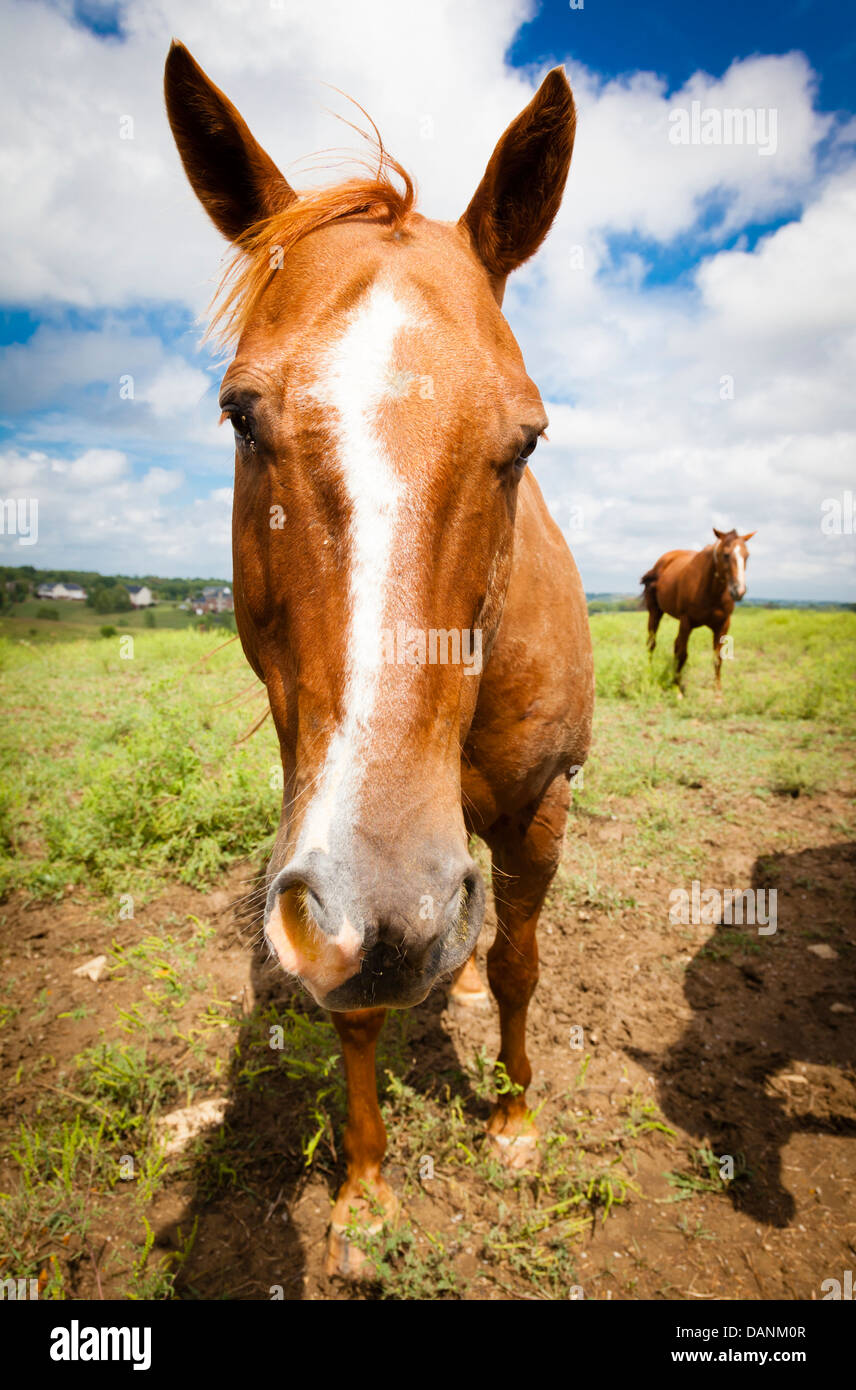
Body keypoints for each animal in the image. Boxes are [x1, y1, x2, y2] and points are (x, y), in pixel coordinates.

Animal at [164, 41, 593, 1278]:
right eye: (240, 413)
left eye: (527, 438)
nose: (393, 913)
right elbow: (353, 1008)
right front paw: (363, 1193)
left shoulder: (541, 805)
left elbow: (518, 962)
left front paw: (513, 1117)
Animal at [641, 527, 756, 696]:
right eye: (726, 555)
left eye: (746, 555)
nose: (738, 590)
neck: (711, 590)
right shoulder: (686, 621)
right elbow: (682, 655)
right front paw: (677, 690)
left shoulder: (723, 625)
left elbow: (718, 658)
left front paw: (718, 692)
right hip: (655, 612)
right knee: (652, 643)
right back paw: (649, 671)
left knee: (675, 644)